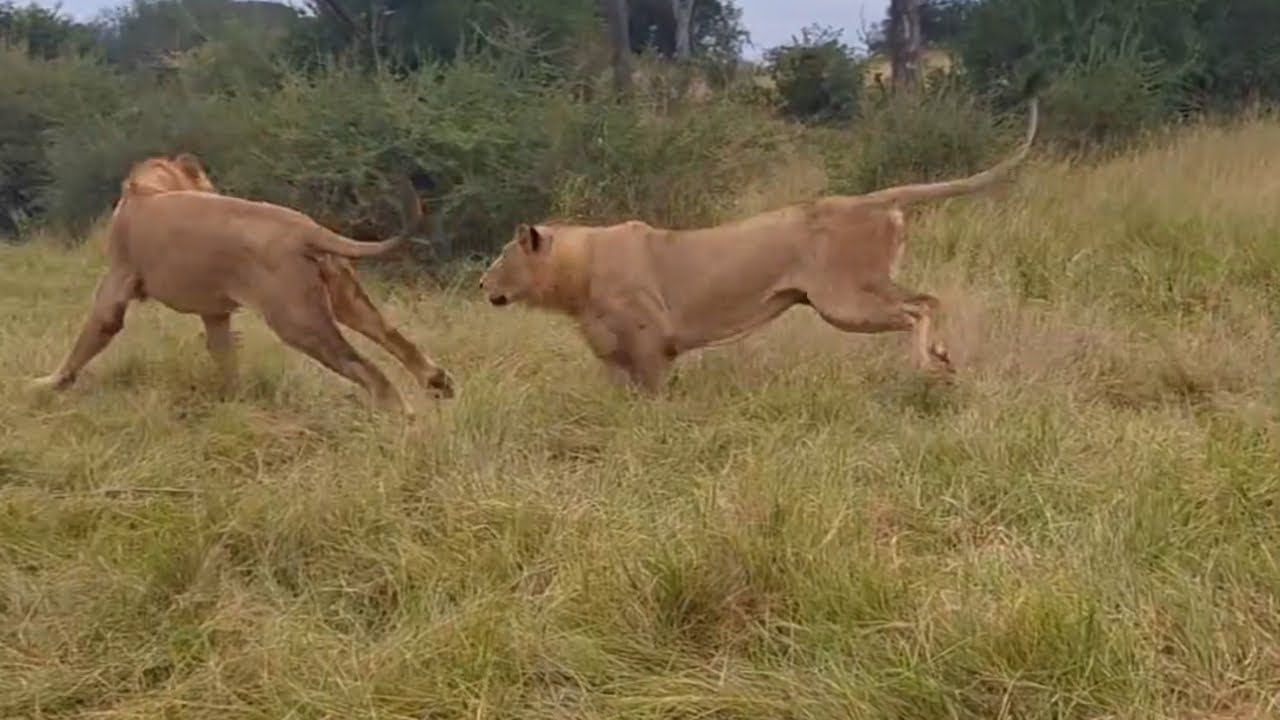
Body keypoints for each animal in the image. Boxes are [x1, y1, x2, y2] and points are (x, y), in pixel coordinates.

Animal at [32, 153, 453, 415]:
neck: (153, 187)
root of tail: (306, 227)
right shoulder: (215, 313)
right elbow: (225, 357)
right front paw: (233, 399)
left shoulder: (116, 284)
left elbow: (85, 342)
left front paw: (47, 384)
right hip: (345, 297)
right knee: (395, 337)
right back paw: (439, 384)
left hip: (297, 321)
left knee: (368, 370)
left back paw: (402, 418)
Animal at [480, 95, 1040, 393]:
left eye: (501, 257)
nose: (482, 283)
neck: (574, 275)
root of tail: (867, 200)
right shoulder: (615, 357)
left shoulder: (651, 345)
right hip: (856, 293)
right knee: (928, 299)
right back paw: (942, 359)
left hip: (843, 301)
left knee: (919, 306)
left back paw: (930, 363)